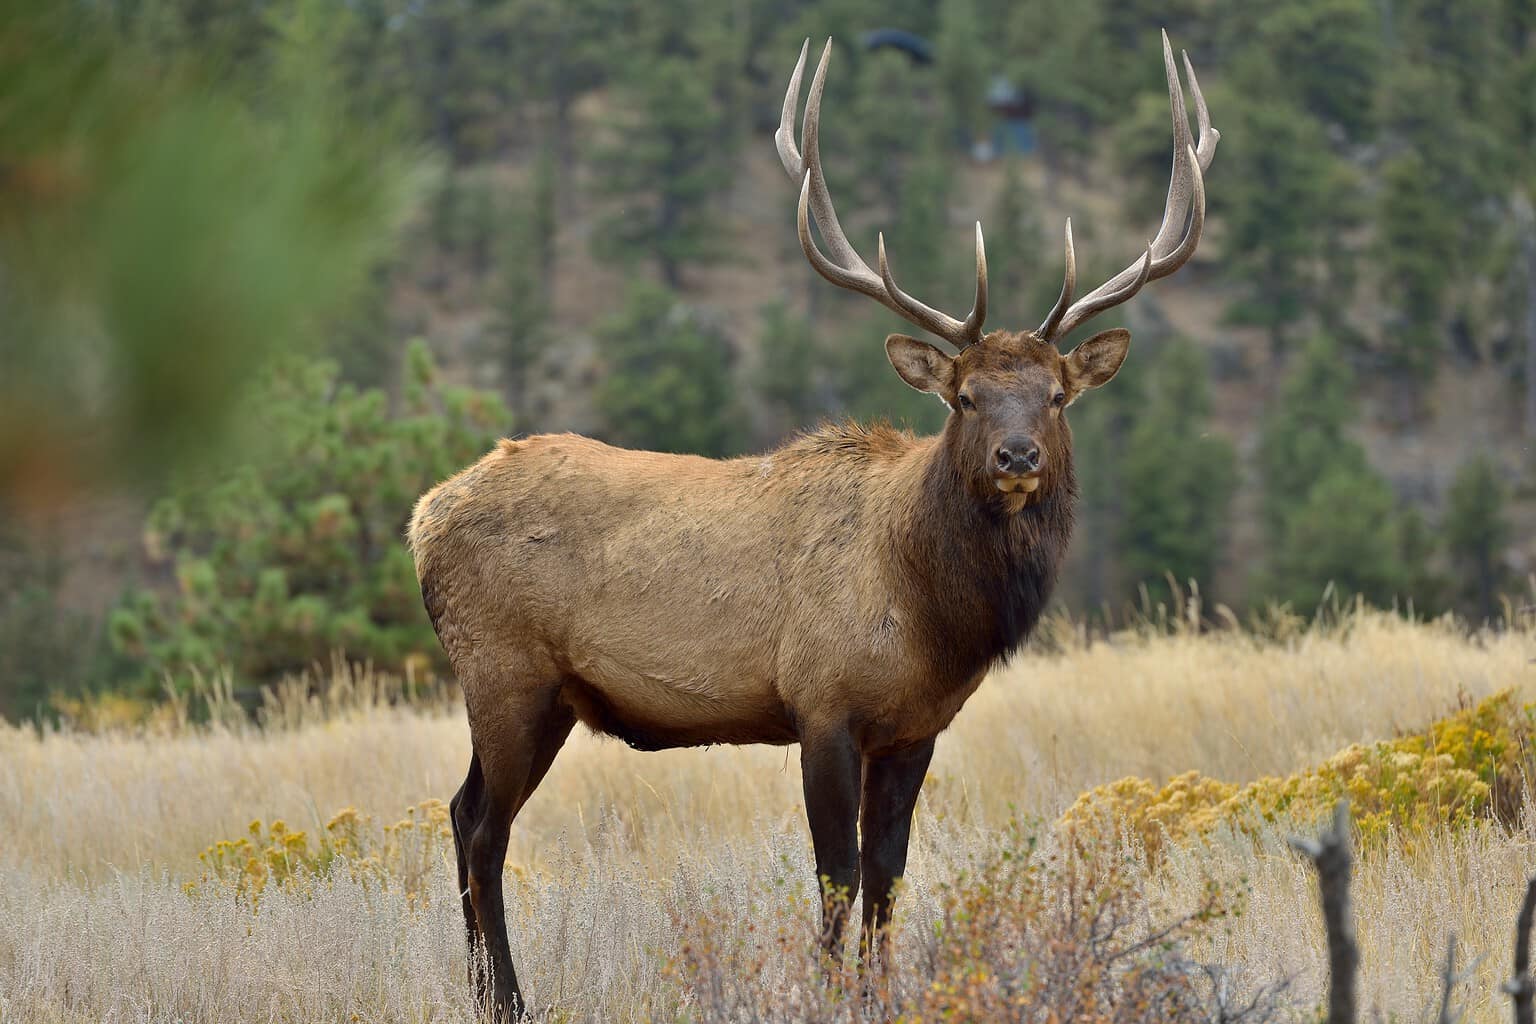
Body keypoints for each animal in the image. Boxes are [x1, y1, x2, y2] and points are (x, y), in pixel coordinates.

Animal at [407, 31, 1217, 1022]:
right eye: (966, 396)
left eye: (1057, 395)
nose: (1017, 455)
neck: (930, 613)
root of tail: (423, 516)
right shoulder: (822, 703)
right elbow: (837, 874)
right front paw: (829, 992)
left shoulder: (916, 728)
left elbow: (888, 875)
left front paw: (880, 992)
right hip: (504, 670)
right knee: (483, 829)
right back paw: (509, 1000)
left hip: (547, 695)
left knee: (460, 811)